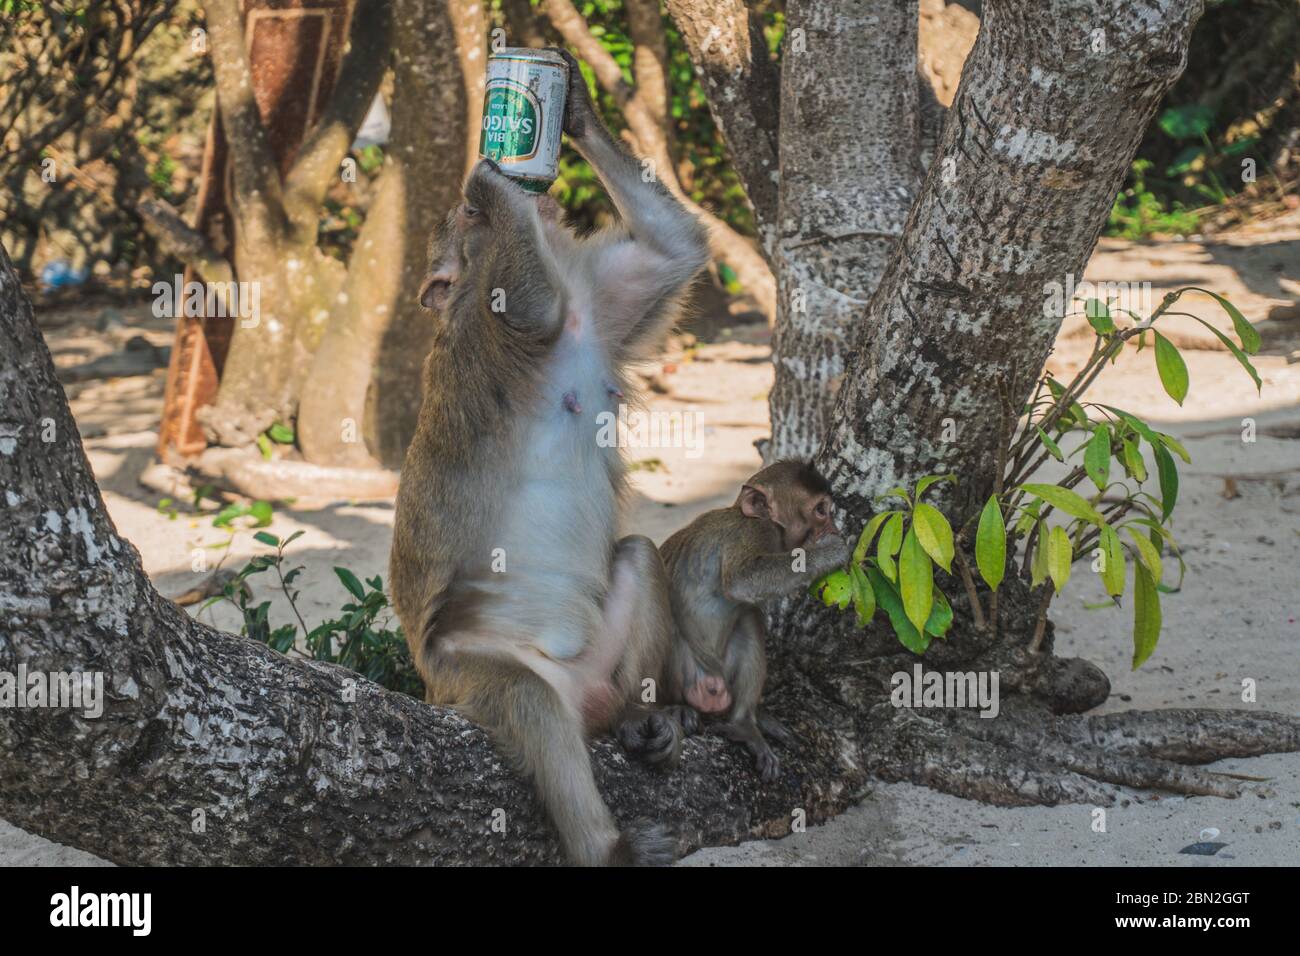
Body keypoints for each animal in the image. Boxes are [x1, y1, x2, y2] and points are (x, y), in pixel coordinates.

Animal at [389, 48, 709, 866]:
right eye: (467, 223)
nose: (478, 203)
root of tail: (580, 694)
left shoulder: (598, 304)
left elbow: (676, 252)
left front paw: (576, 108)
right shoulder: (484, 331)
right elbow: (529, 308)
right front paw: (500, 178)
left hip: (598, 664)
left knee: (638, 558)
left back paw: (643, 722)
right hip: (462, 676)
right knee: (529, 704)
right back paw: (608, 845)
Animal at [659, 461, 850, 782]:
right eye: (821, 510)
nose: (835, 529)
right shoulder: (755, 532)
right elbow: (743, 579)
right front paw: (829, 552)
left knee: (748, 617)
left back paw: (744, 723)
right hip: (691, 677)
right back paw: (674, 708)